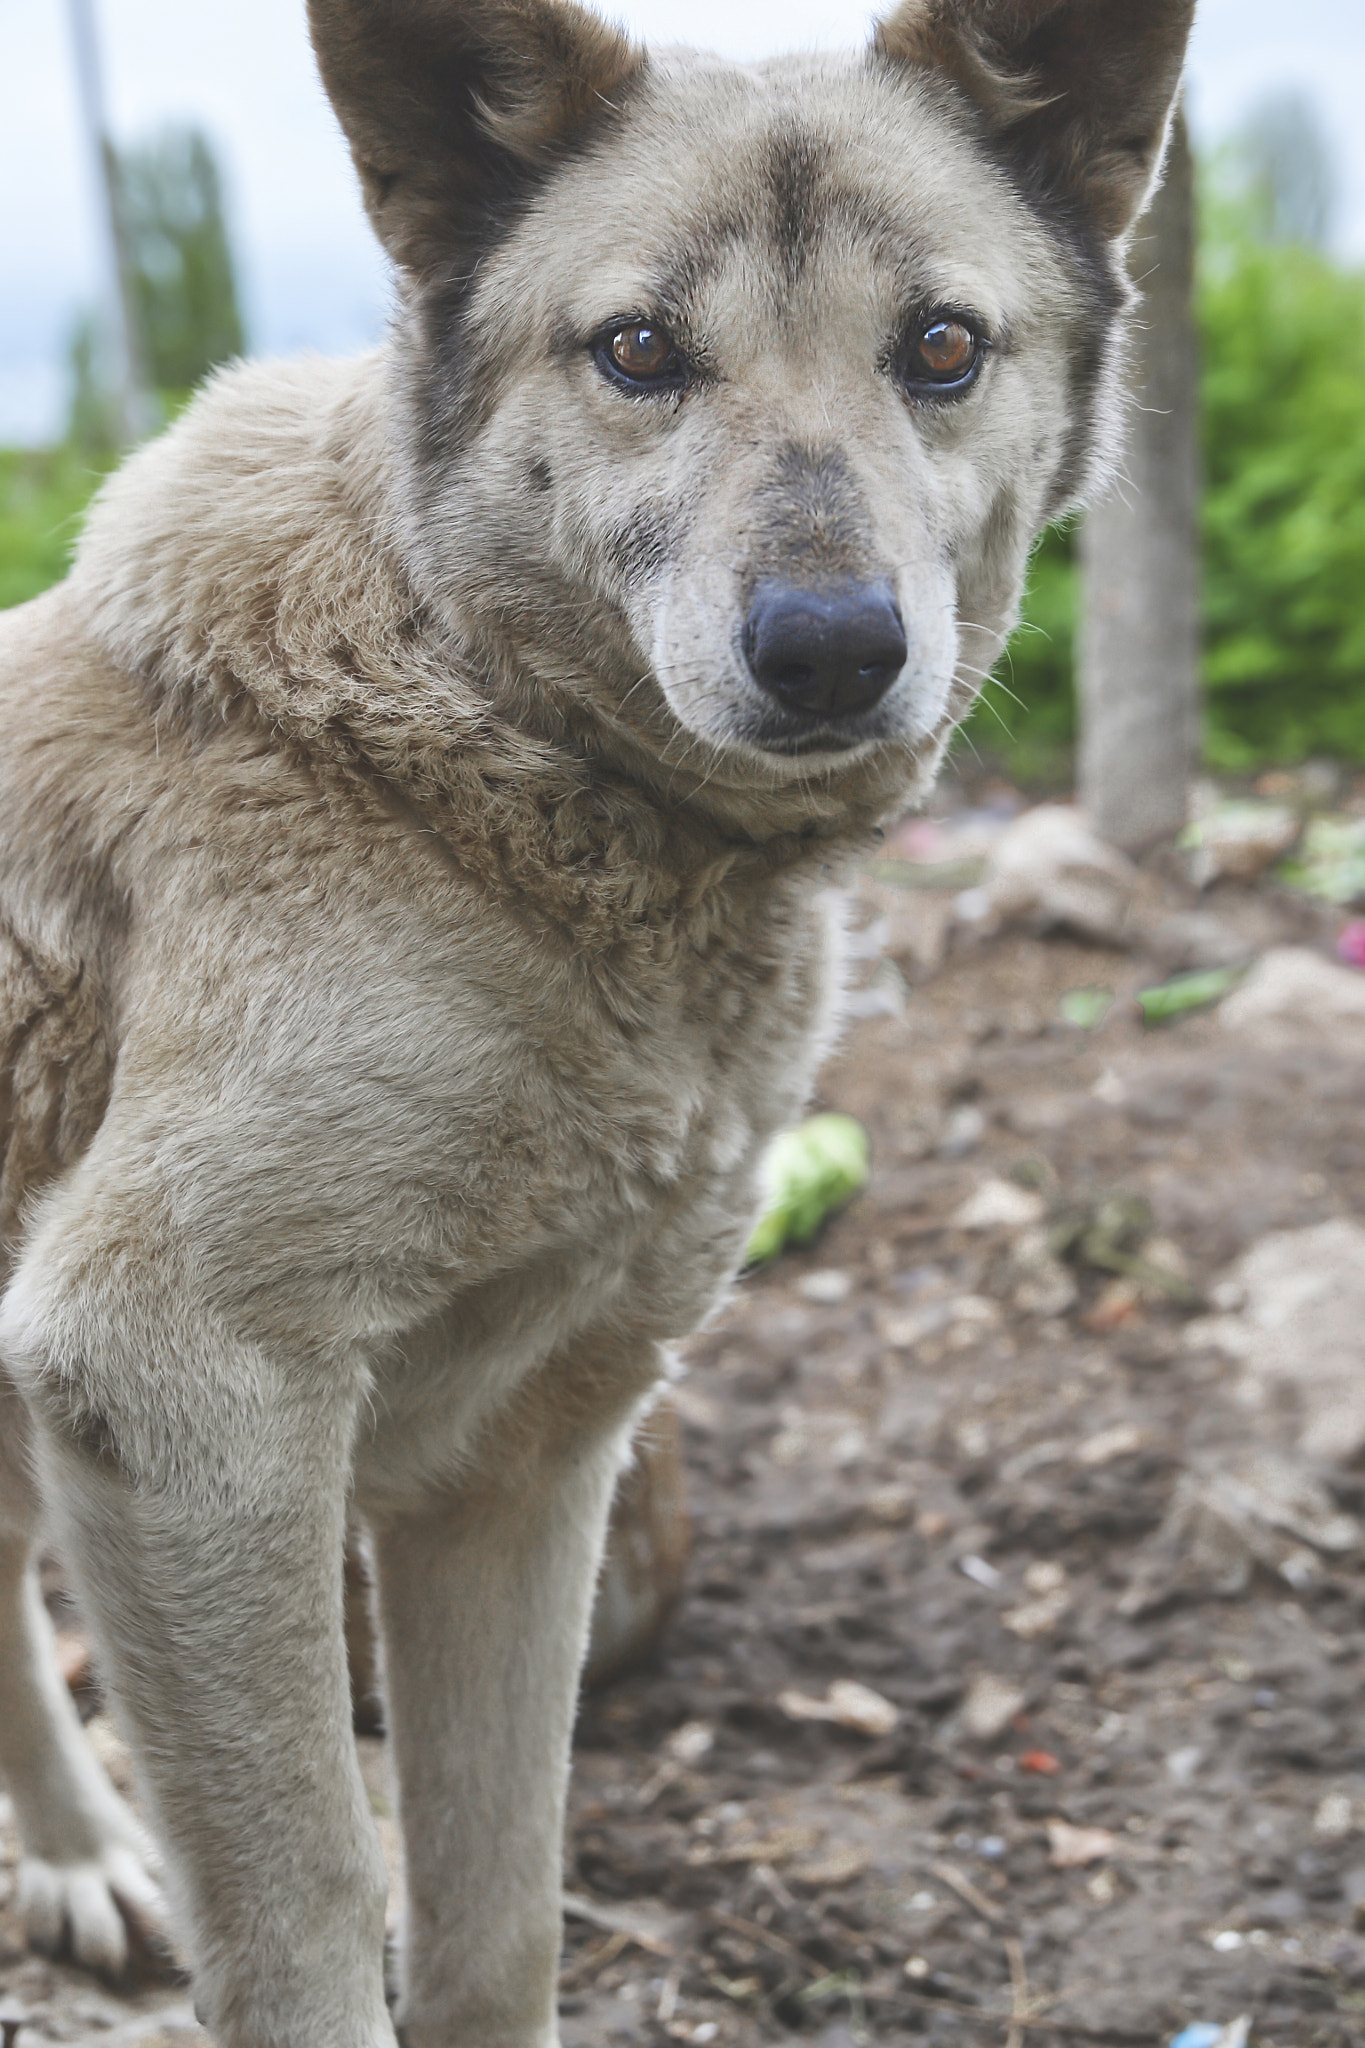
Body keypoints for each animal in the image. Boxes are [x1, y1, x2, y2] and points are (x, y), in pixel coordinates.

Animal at [0, 4, 1195, 2031]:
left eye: (942, 347)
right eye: (638, 350)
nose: (830, 651)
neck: (493, 734)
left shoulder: (521, 1464)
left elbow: (501, 1919)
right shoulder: (172, 1383)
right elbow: (317, 1914)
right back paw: (88, 1858)